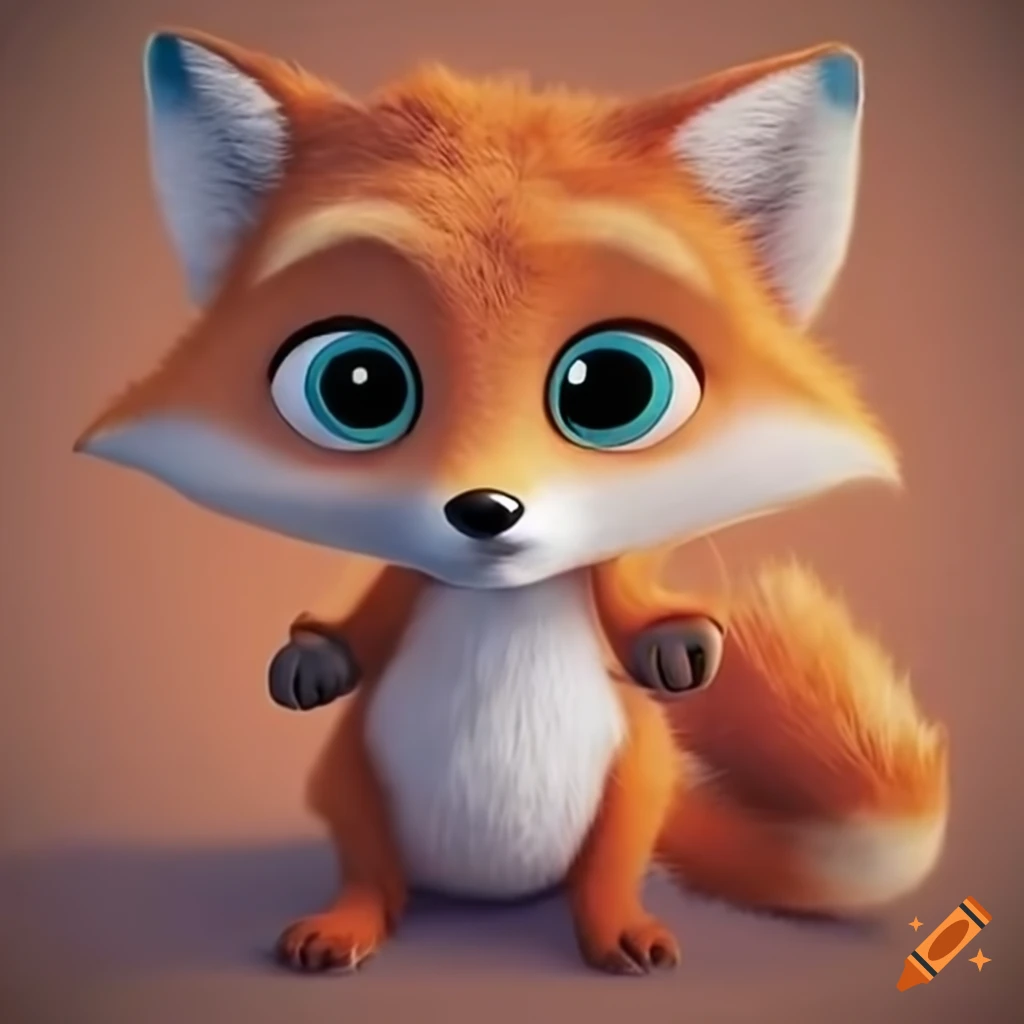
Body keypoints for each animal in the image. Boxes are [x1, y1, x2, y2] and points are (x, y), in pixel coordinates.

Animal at [74, 28, 949, 976]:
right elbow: (358, 625)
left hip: (637, 769)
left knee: (606, 870)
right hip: (350, 773)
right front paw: (312, 658)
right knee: (375, 875)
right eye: (357, 384)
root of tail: (483, 890)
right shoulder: (399, 596)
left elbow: (639, 623)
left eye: (612, 387)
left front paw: (678, 639)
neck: (495, 611)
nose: (485, 509)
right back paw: (349, 921)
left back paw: (617, 928)